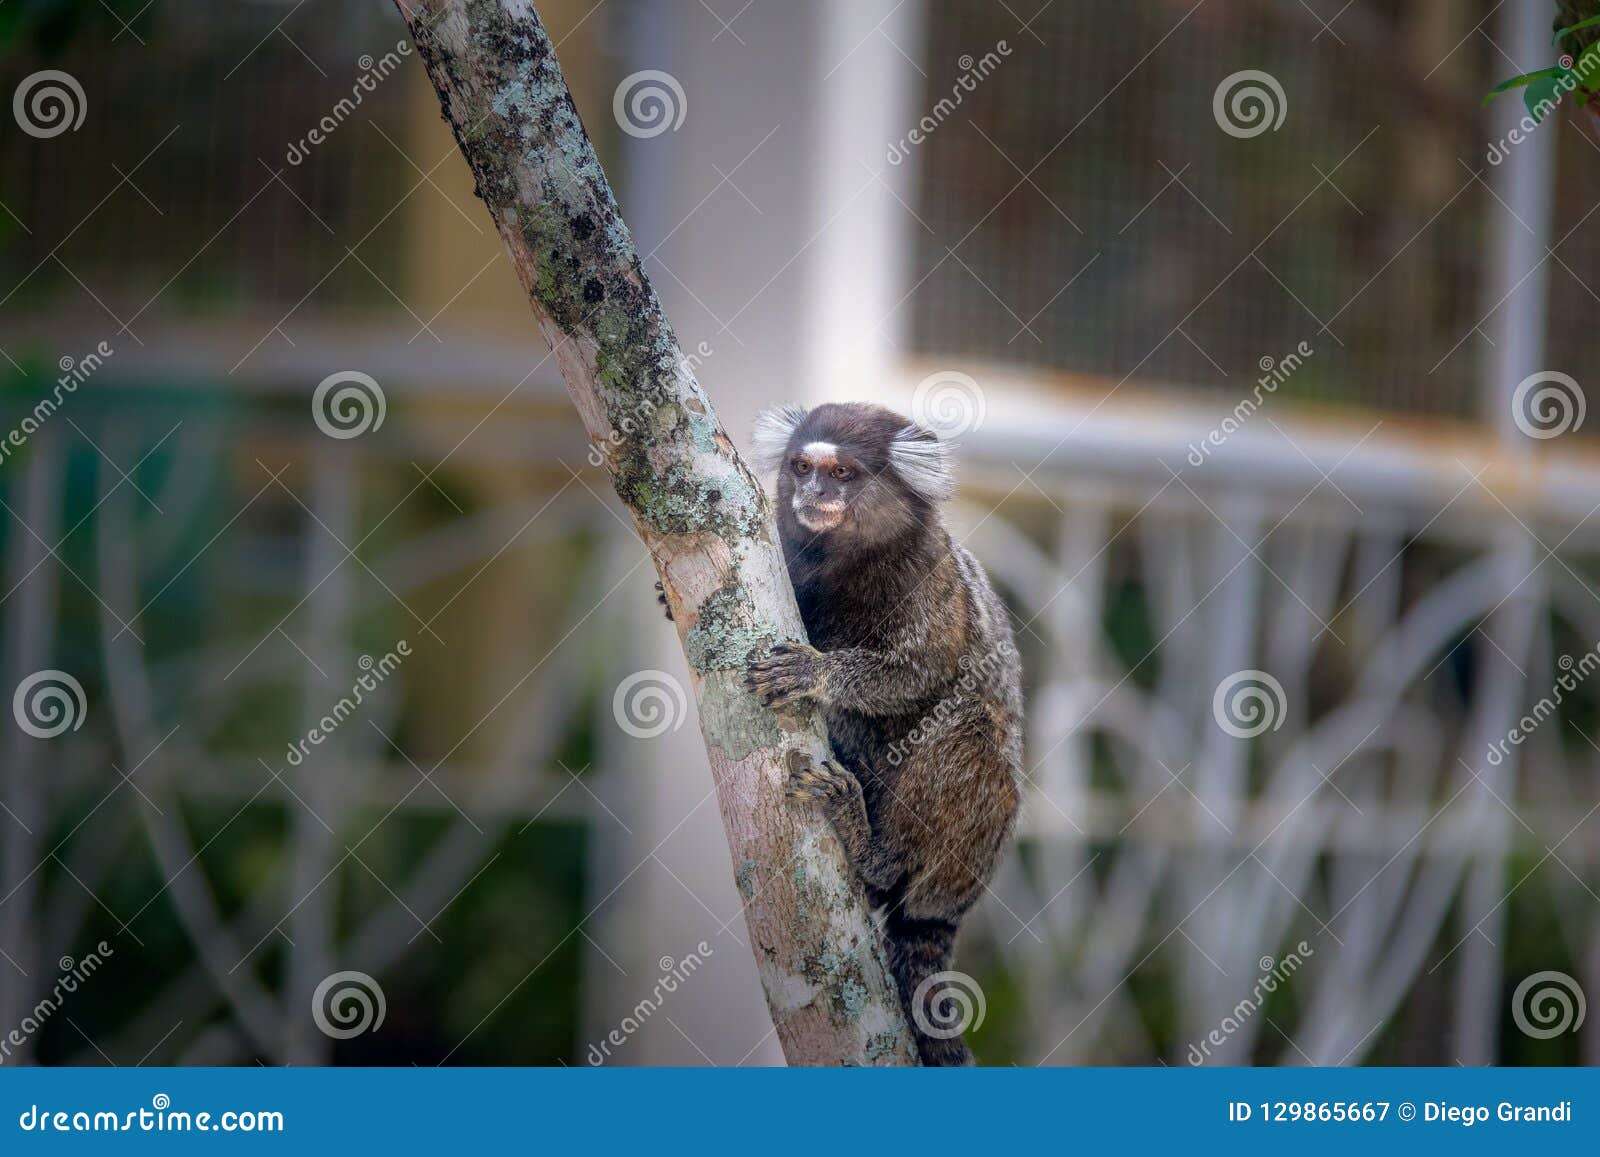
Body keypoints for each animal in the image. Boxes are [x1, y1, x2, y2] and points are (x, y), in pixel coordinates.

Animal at [732, 401, 1023, 1066]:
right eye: (802, 466)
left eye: (842, 473)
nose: (813, 493)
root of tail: (951, 903)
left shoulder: (931, 582)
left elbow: (921, 672)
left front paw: (818, 674)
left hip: (970, 840)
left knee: (971, 731)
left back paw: (872, 854)